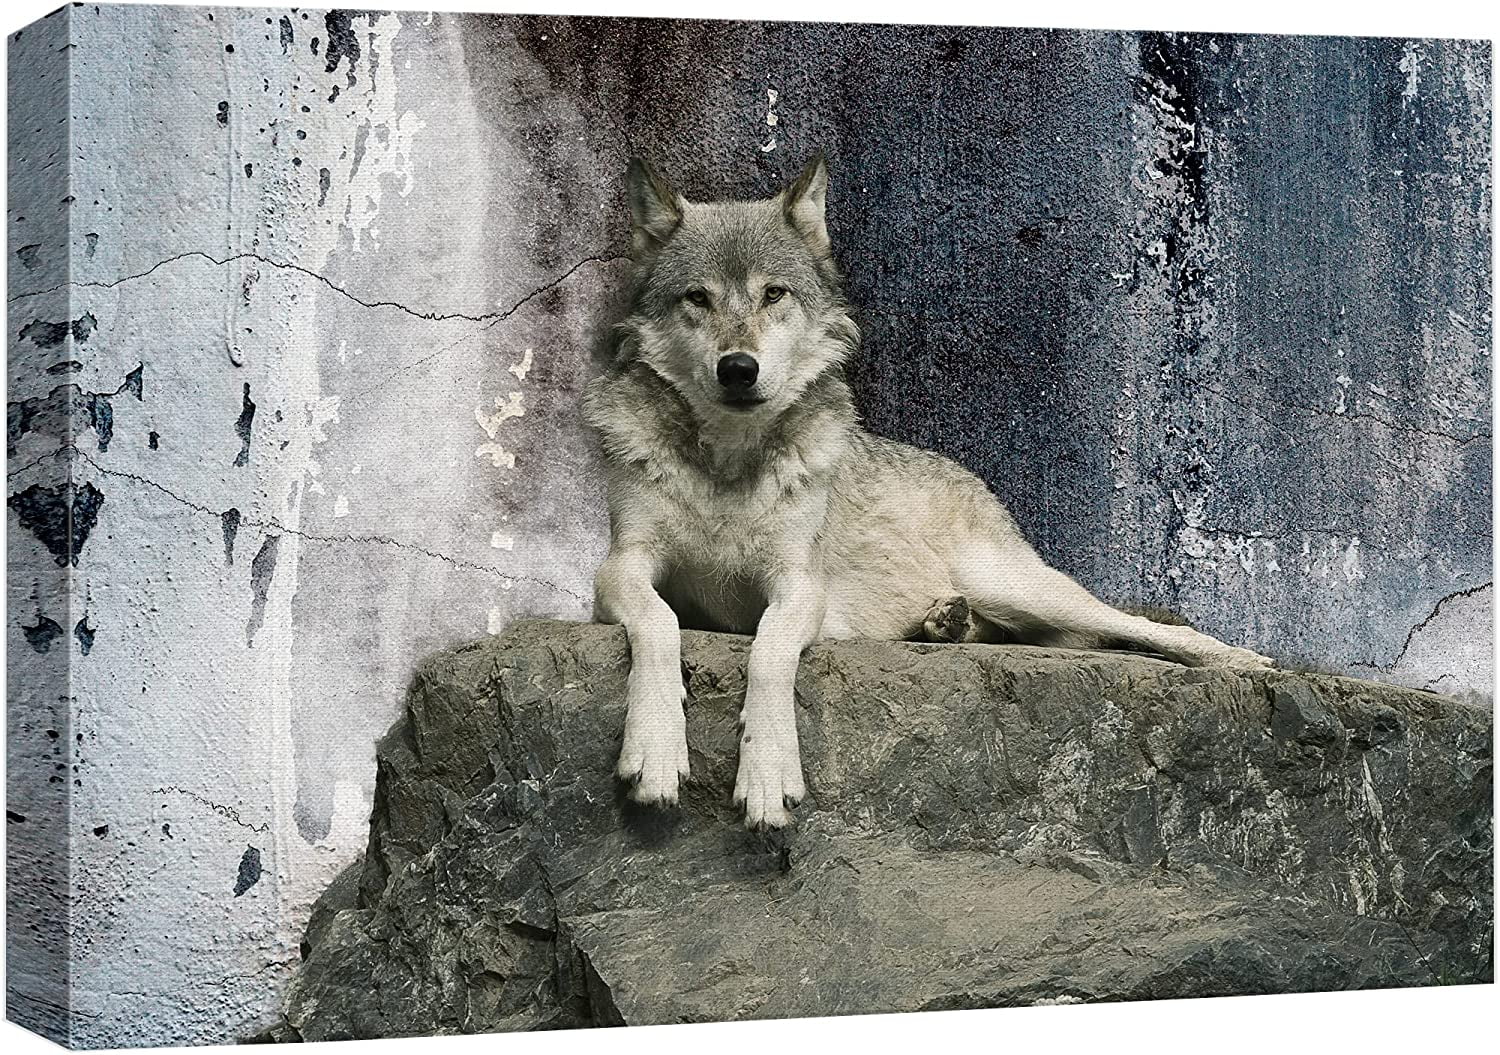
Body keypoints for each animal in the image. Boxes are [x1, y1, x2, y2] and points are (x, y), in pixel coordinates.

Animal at [584, 154, 1272, 829]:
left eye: (773, 294)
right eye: (696, 298)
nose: (737, 369)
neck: (728, 463)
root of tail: (970, 477)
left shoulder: (799, 586)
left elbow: (769, 650)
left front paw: (767, 772)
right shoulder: (620, 569)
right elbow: (660, 622)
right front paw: (656, 748)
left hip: (1019, 585)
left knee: (1134, 627)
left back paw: (1240, 660)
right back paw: (947, 624)